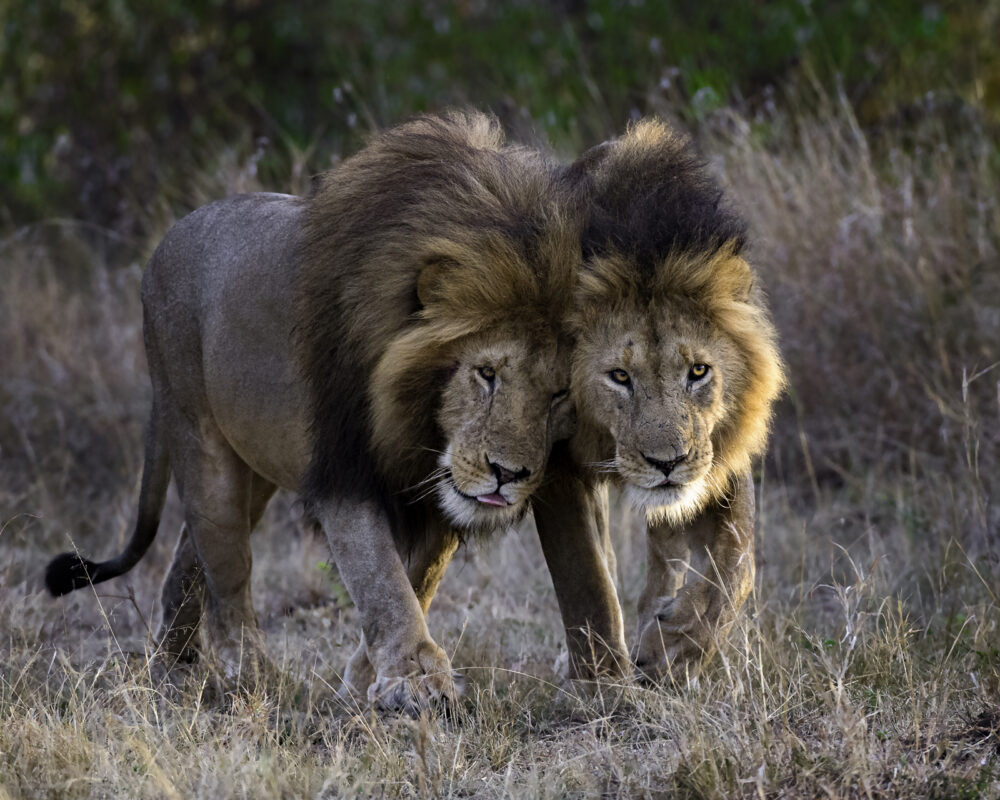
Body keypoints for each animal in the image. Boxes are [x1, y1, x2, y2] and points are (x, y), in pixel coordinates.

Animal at [44, 111, 598, 710]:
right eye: (487, 374)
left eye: (557, 395)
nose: (508, 474)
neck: (413, 422)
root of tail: (166, 242)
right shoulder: (344, 469)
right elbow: (380, 576)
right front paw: (417, 681)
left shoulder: (440, 491)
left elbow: (418, 577)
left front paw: (365, 682)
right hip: (198, 430)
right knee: (227, 562)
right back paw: (249, 676)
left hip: (257, 460)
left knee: (191, 553)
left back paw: (171, 665)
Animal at [536, 119, 785, 680]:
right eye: (619, 376)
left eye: (698, 371)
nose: (666, 463)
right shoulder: (557, 462)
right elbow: (588, 579)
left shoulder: (716, 453)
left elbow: (739, 562)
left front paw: (679, 643)